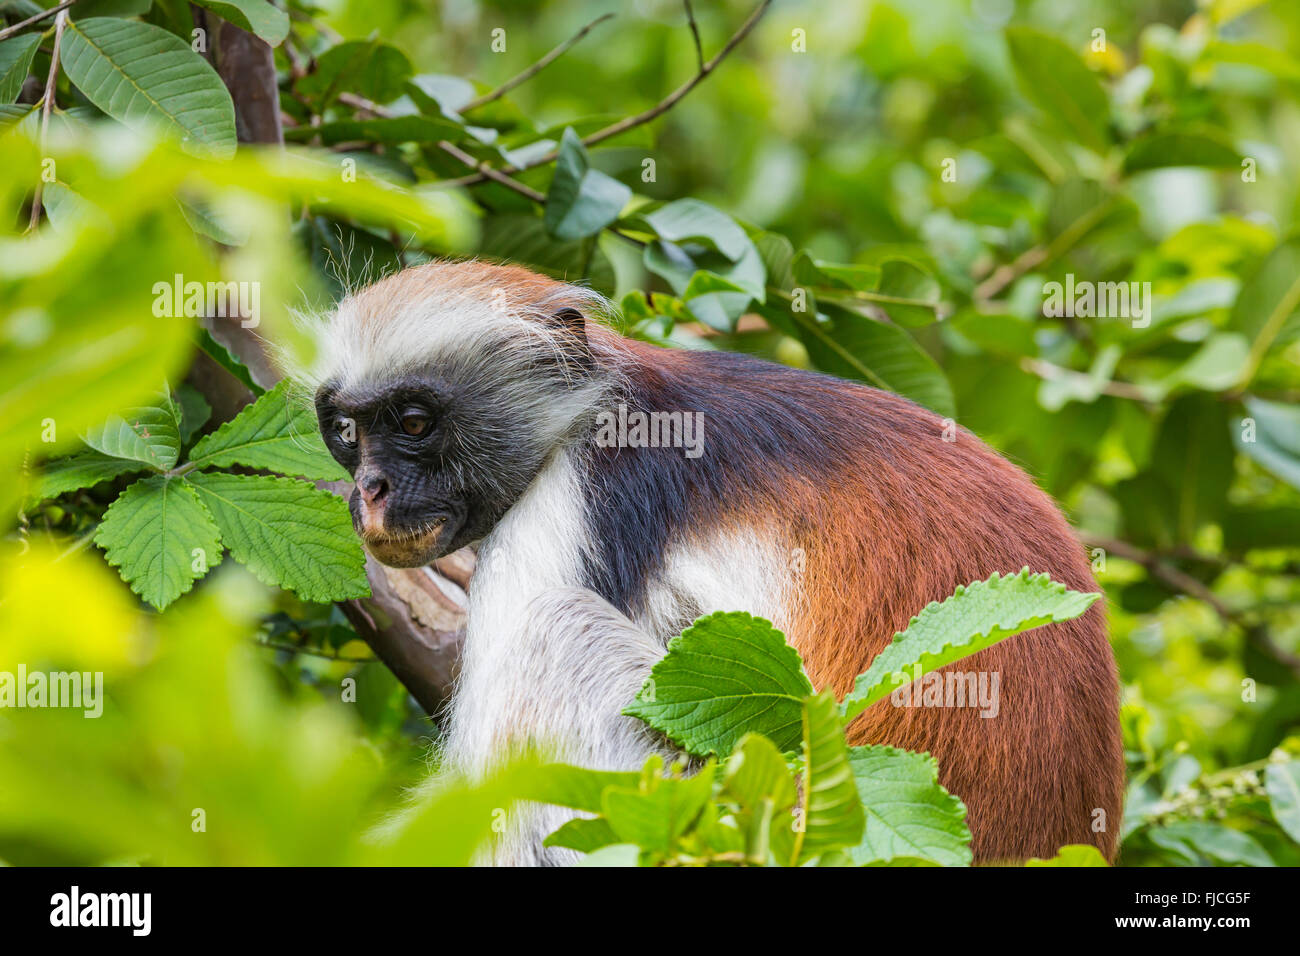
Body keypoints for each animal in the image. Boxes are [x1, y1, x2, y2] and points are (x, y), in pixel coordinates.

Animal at [307, 260, 1124, 866]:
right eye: (348, 432)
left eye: (414, 423)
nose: (371, 491)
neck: (605, 408)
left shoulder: (571, 502)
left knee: (553, 631)